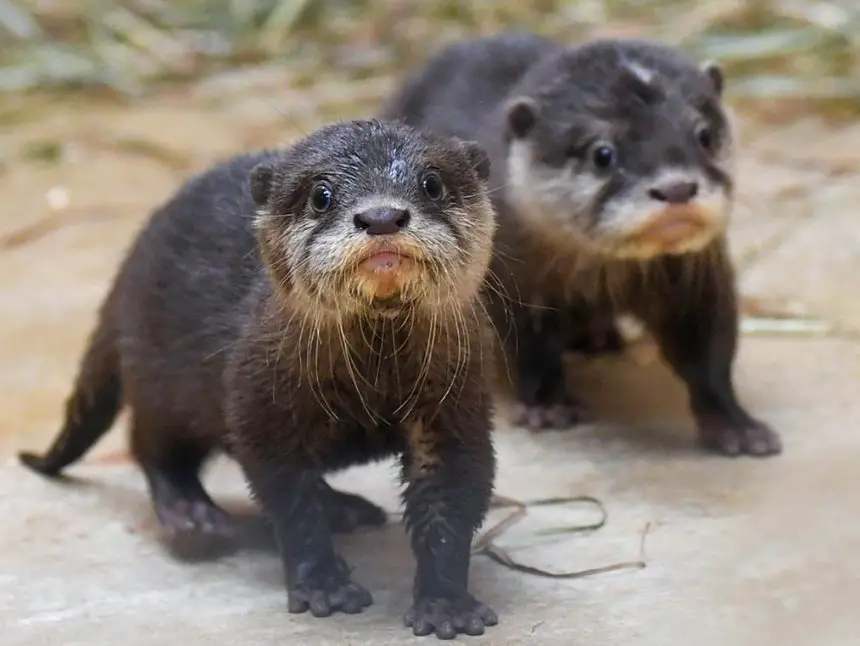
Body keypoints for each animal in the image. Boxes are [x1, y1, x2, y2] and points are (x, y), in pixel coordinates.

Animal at [18, 119, 501, 639]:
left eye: (432, 184)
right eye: (321, 195)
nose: (381, 216)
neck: (372, 377)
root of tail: (126, 273)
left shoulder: (456, 402)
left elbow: (452, 497)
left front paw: (446, 603)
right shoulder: (259, 399)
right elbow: (288, 499)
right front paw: (324, 585)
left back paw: (344, 508)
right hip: (162, 376)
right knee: (151, 444)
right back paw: (193, 516)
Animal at [382, 32, 782, 457]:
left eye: (704, 135)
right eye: (602, 154)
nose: (676, 188)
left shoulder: (697, 277)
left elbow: (709, 351)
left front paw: (737, 426)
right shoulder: (513, 282)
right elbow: (529, 348)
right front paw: (548, 407)